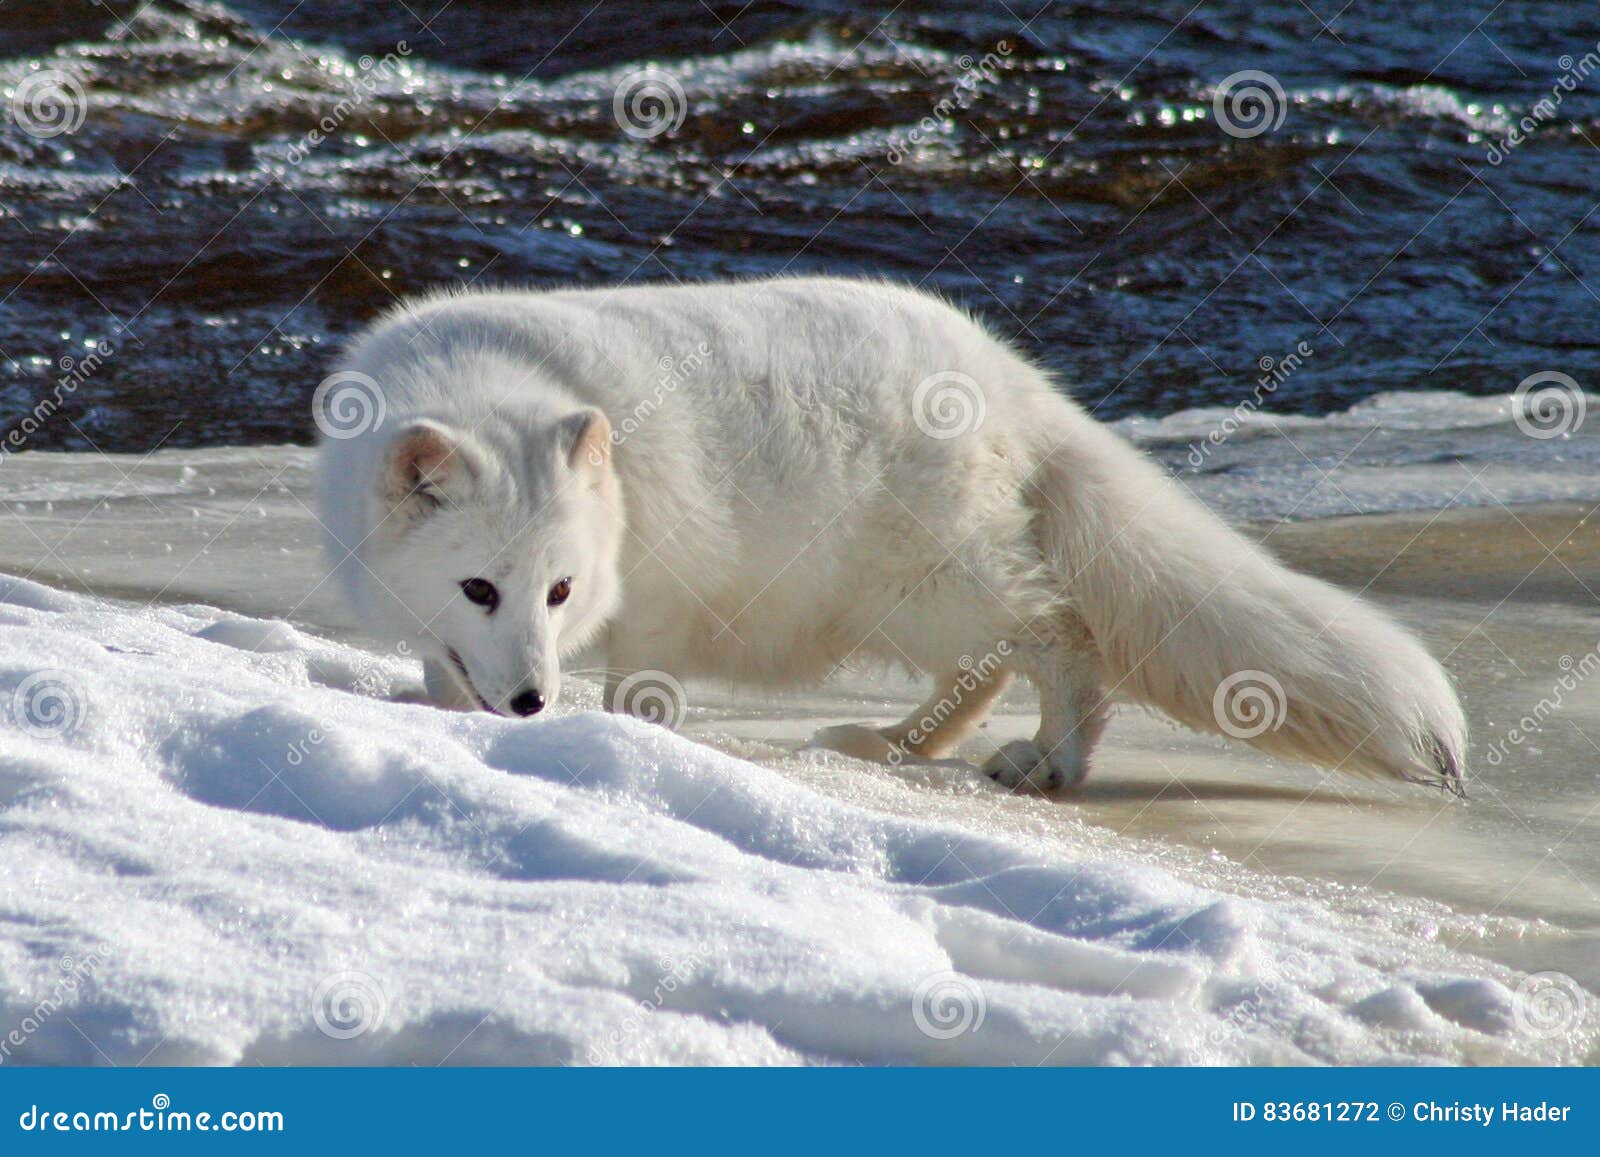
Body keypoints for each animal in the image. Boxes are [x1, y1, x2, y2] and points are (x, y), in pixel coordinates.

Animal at [315, 276, 1466, 794]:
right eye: (478, 588)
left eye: (559, 591)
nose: (527, 701)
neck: (501, 380)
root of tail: (1017, 379)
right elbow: (441, 674)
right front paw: (452, 716)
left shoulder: (656, 603)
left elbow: (639, 691)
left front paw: (629, 749)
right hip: (913, 598)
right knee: (987, 667)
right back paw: (900, 745)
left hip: (931, 582)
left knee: (1058, 640)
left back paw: (1050, 760)